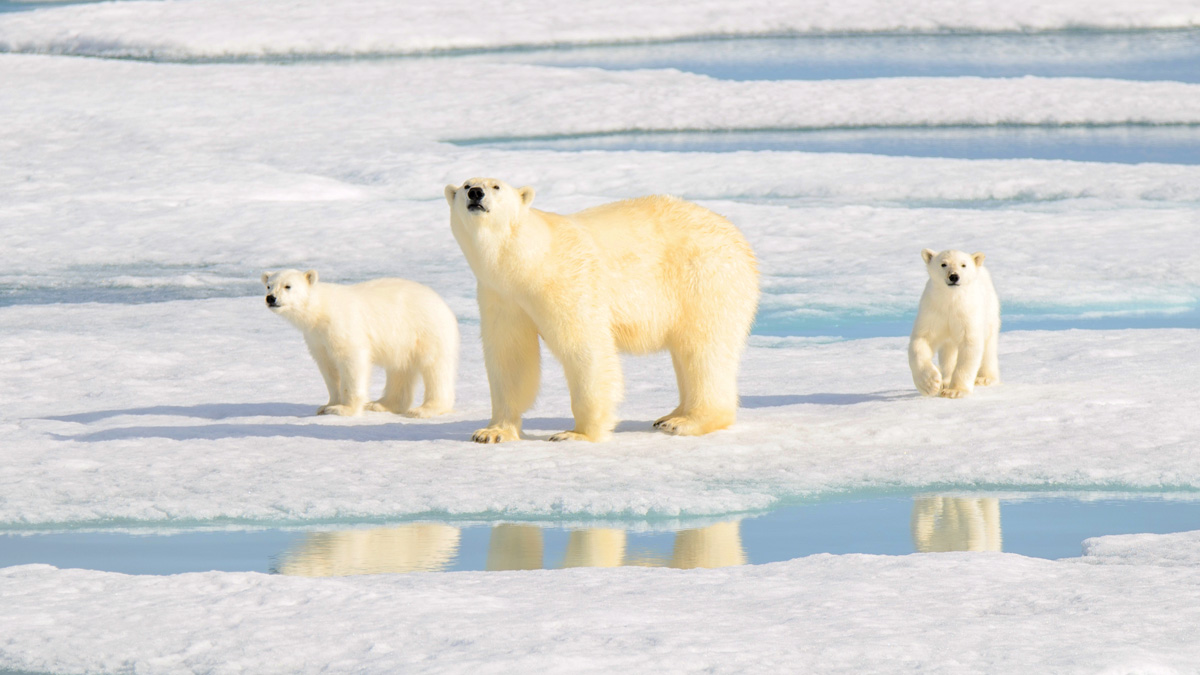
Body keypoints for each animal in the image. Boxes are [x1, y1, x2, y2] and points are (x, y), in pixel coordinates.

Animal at [262, 269, 458, 417]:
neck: (320, 311)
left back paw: (424, 409)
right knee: (400, 370)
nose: (271, 298)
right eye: (268, 285)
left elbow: (351, 361)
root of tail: (442, 304)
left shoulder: (342, 326)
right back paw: (380, 404)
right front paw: (327, 406)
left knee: (434, 368)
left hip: (426, 331)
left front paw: (344, 409)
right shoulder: (317, 338)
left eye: (288, 286)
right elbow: (328, 367)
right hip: (403, 342)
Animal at [445, 177, 759, 443]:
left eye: (496, 186)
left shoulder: (566, 280)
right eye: (466, 184)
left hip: (705, 279)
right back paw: (669, 416)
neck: (525, 262)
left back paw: (686, 422)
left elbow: (584, 347)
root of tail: (739, 238)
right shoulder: (501, 296)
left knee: (704, 349)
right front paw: (492, 432)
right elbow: (510, 356)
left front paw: (577, 434)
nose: (476, 193)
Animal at [908, 249, 1001, 398]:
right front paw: (931, 383)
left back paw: (985, 378)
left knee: (989, 345)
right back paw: (946, 380)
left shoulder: (967, 314)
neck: (951, 301)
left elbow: (969, 345)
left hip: (990, 310)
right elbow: (921, 340)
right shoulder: (933, 312)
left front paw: (955, 391)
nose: (954, 276)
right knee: (948, 350)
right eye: (943, 264)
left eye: (963, 265)